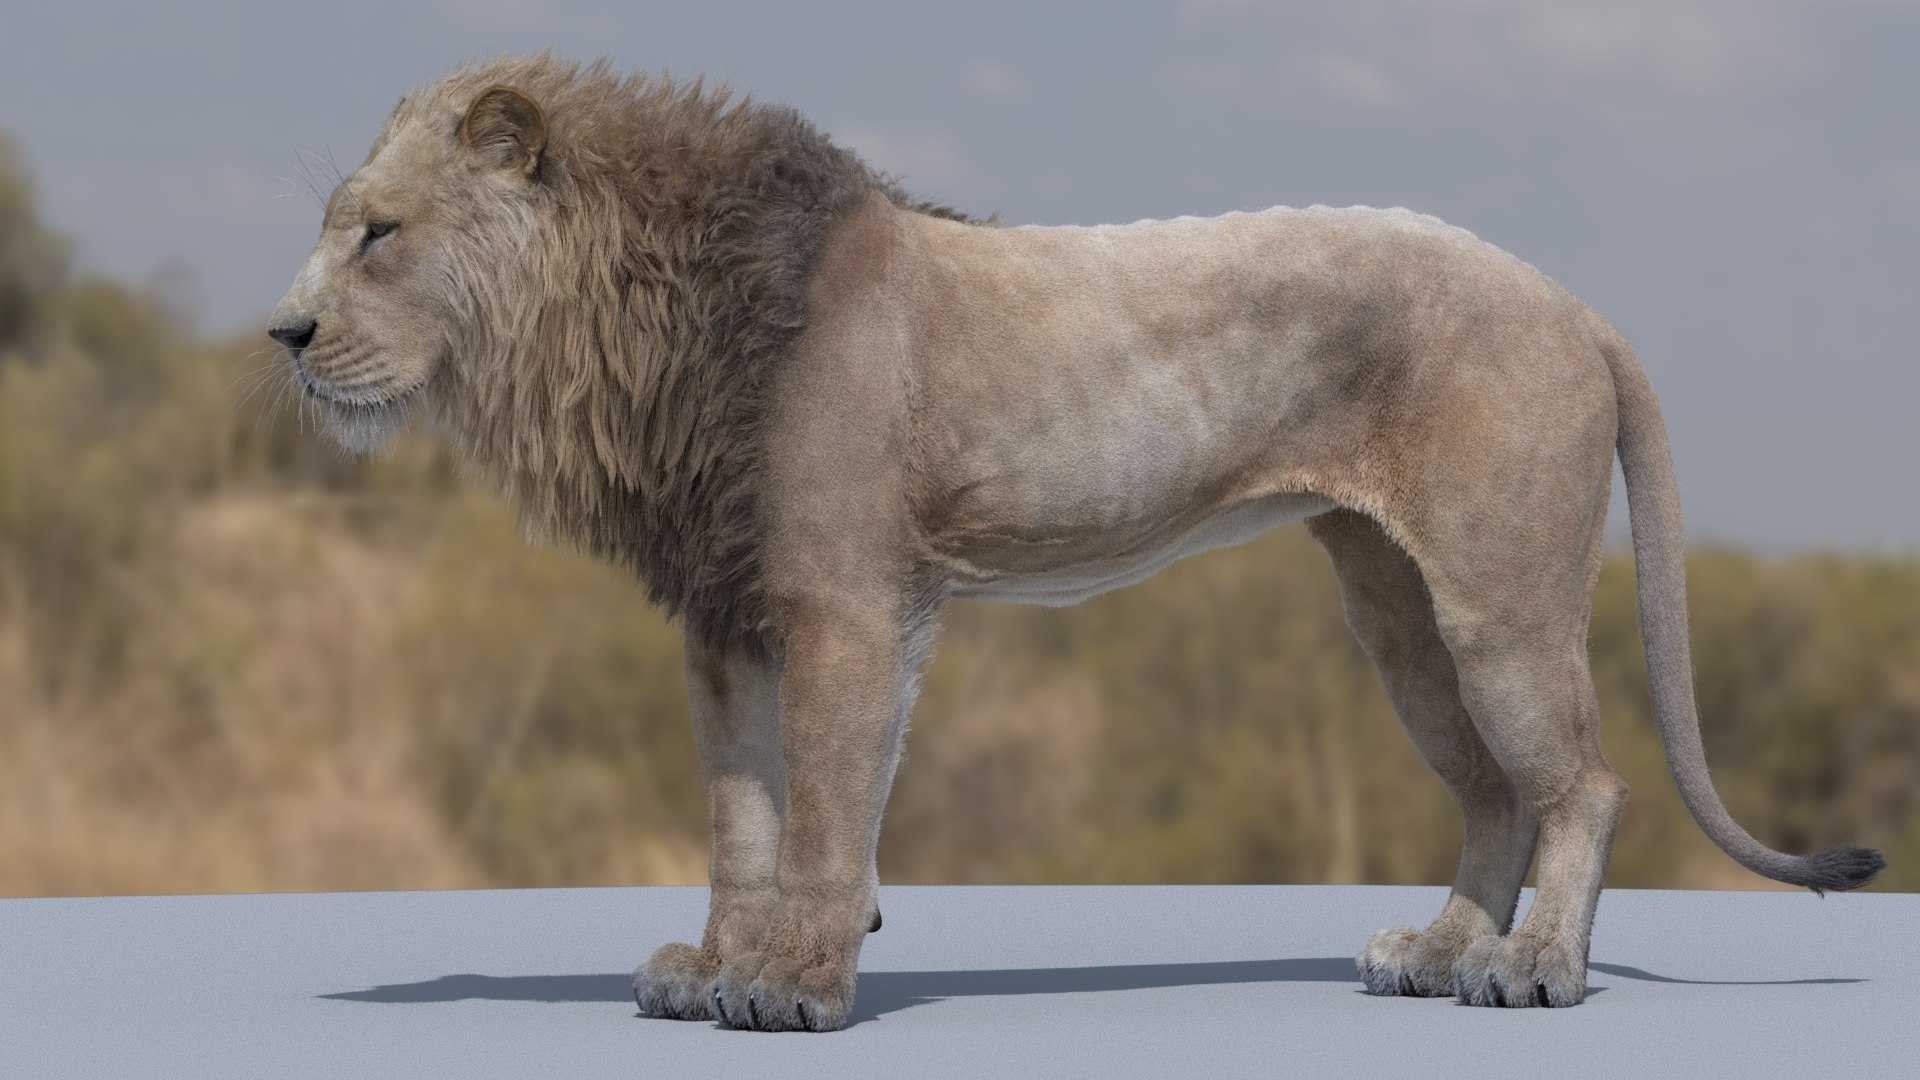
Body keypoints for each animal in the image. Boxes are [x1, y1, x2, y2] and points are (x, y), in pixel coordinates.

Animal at [267, 54, 1883, 1030]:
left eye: (377, 235)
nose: (282, 334)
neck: (633, 324)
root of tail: (1572, 297)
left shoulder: (854, 603)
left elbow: (827, 811)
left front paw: (796, 985)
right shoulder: (723, 621)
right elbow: (741, 816)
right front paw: (707, 972)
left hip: (1496, 595)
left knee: (1583, 784)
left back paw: (1533, 971)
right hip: (1397, 608)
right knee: (1494, 791)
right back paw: (1435, 957)